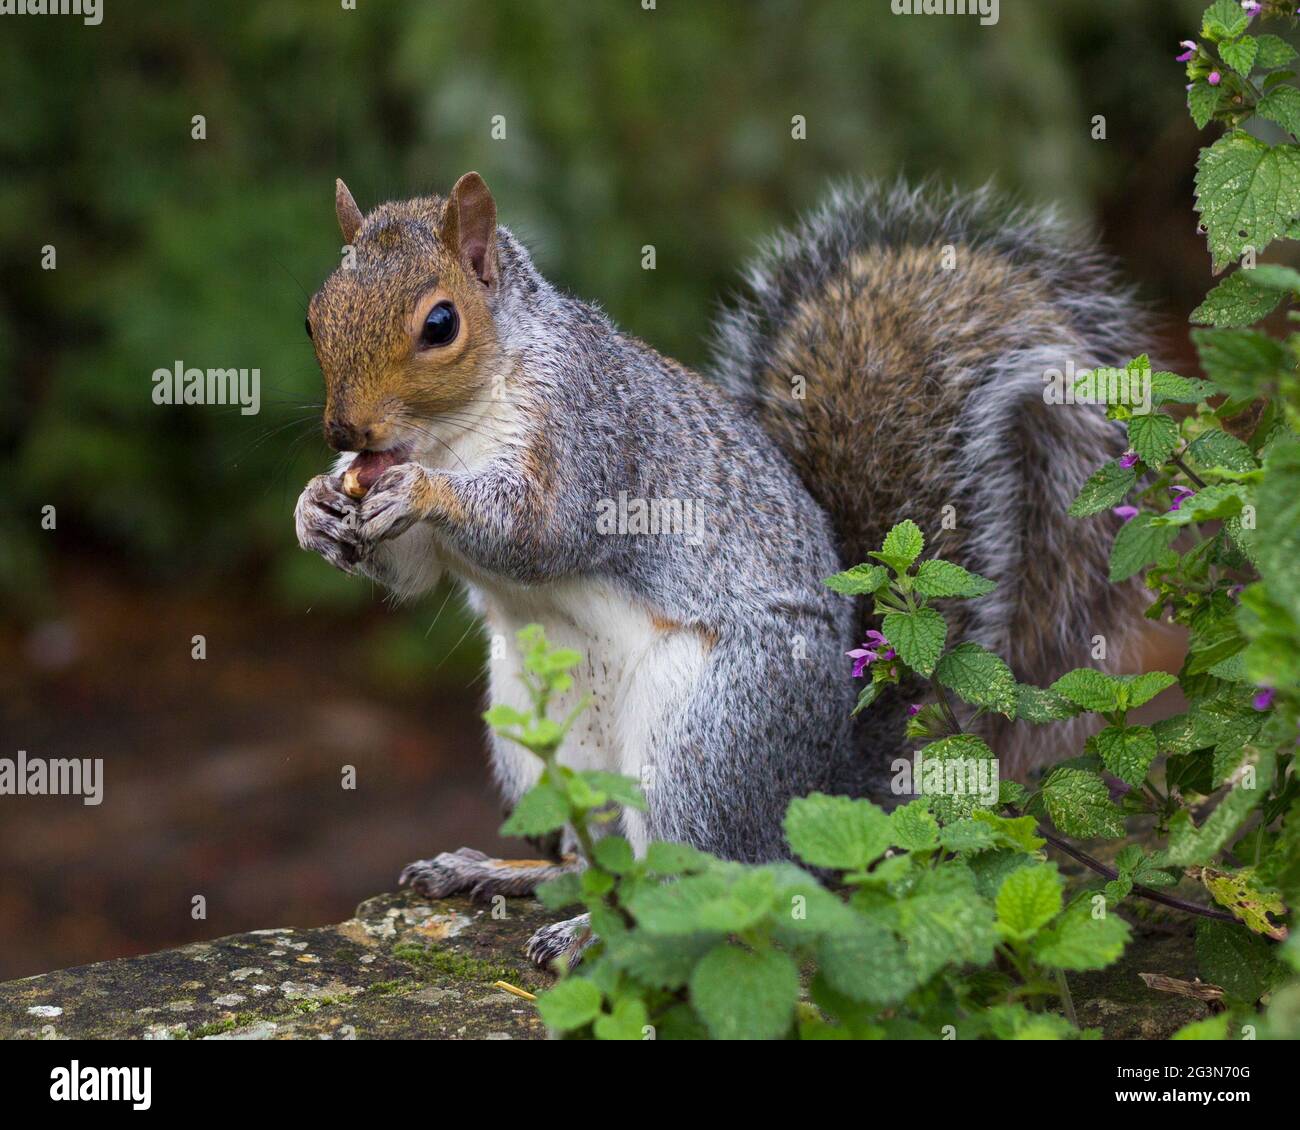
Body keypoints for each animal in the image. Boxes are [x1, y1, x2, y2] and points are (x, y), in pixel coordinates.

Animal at [295, 172, 1145, 966]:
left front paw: (420, 490)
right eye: (314, 313)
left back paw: (595, 933)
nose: (345, 430)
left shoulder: (590, 438)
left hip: (706, 737)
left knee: (710, 879)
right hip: (538, 735)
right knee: (595, 856)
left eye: (440, 324)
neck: (455, 426)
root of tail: (817, 782)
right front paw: (315, 509)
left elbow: (540, 534)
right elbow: (412, 572)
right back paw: (505, 874)